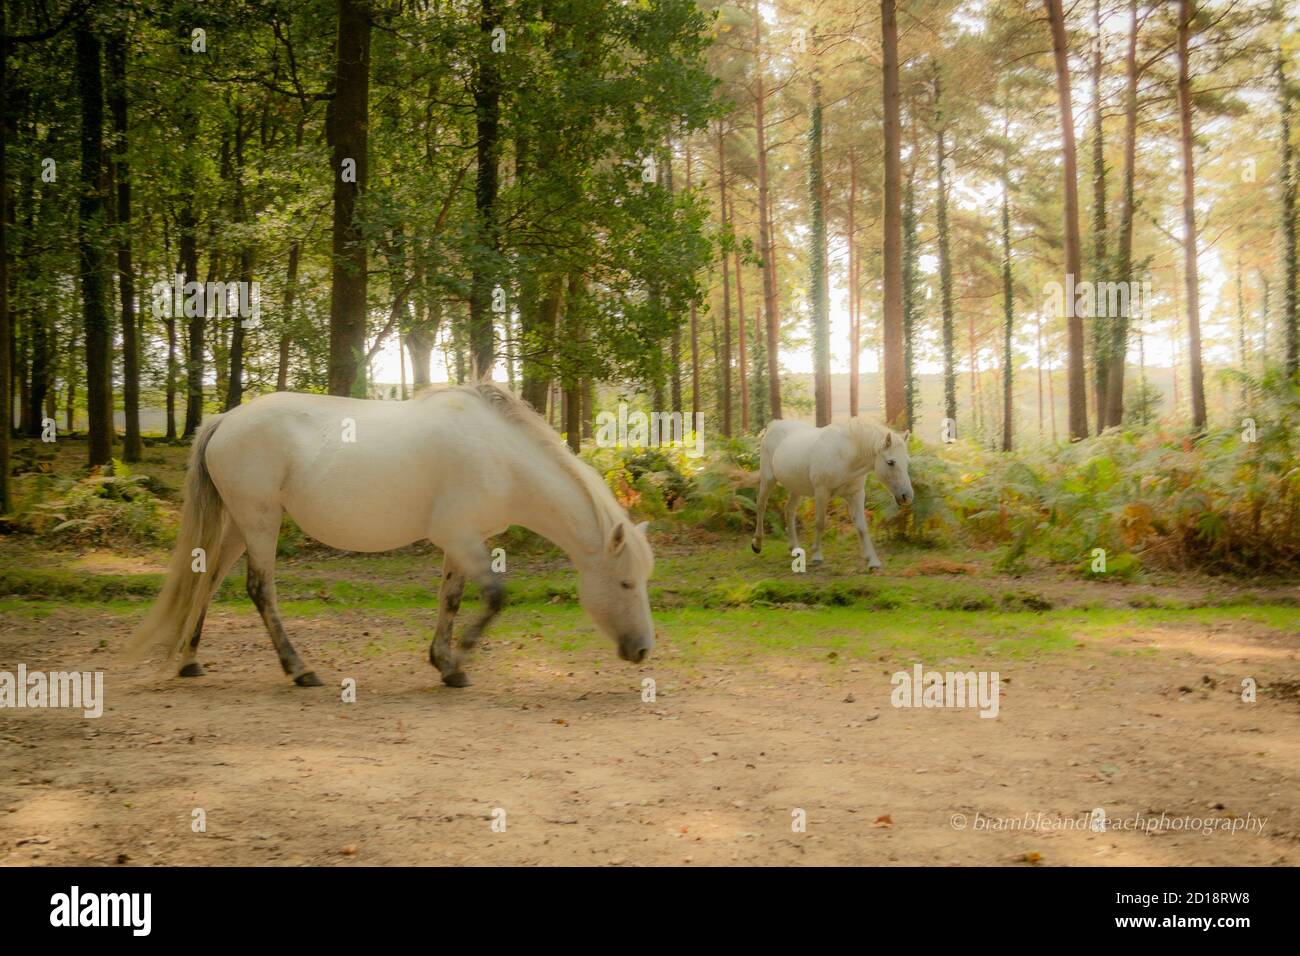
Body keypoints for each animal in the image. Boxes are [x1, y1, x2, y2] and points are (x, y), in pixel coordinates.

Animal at [128, 382, 656, 688]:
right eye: (626, 582)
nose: (644, 650)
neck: (501, 455)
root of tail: (224, 420)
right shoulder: (461, 537)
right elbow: (495, 597)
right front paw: (461, 659)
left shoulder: (459, 541)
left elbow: (452, 599)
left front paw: (444, 662)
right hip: (260, 522)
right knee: (260, 590)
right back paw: (300, 669)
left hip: (242, 524)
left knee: (209, 580)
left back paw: (190, 660)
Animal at [749, 418, 913, 569]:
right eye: (890, 462)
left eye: (906, 461)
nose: (907, 496)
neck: (846, 455)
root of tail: (774, 424)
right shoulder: (822, 492)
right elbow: (820, 523)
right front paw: (817, 556)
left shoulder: (856, 495)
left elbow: (862, 527)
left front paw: (873, 561)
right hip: (768, 479)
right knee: (761, 506)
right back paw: (757, 543)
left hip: (796, 487)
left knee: (789, 511)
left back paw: (795, 549)